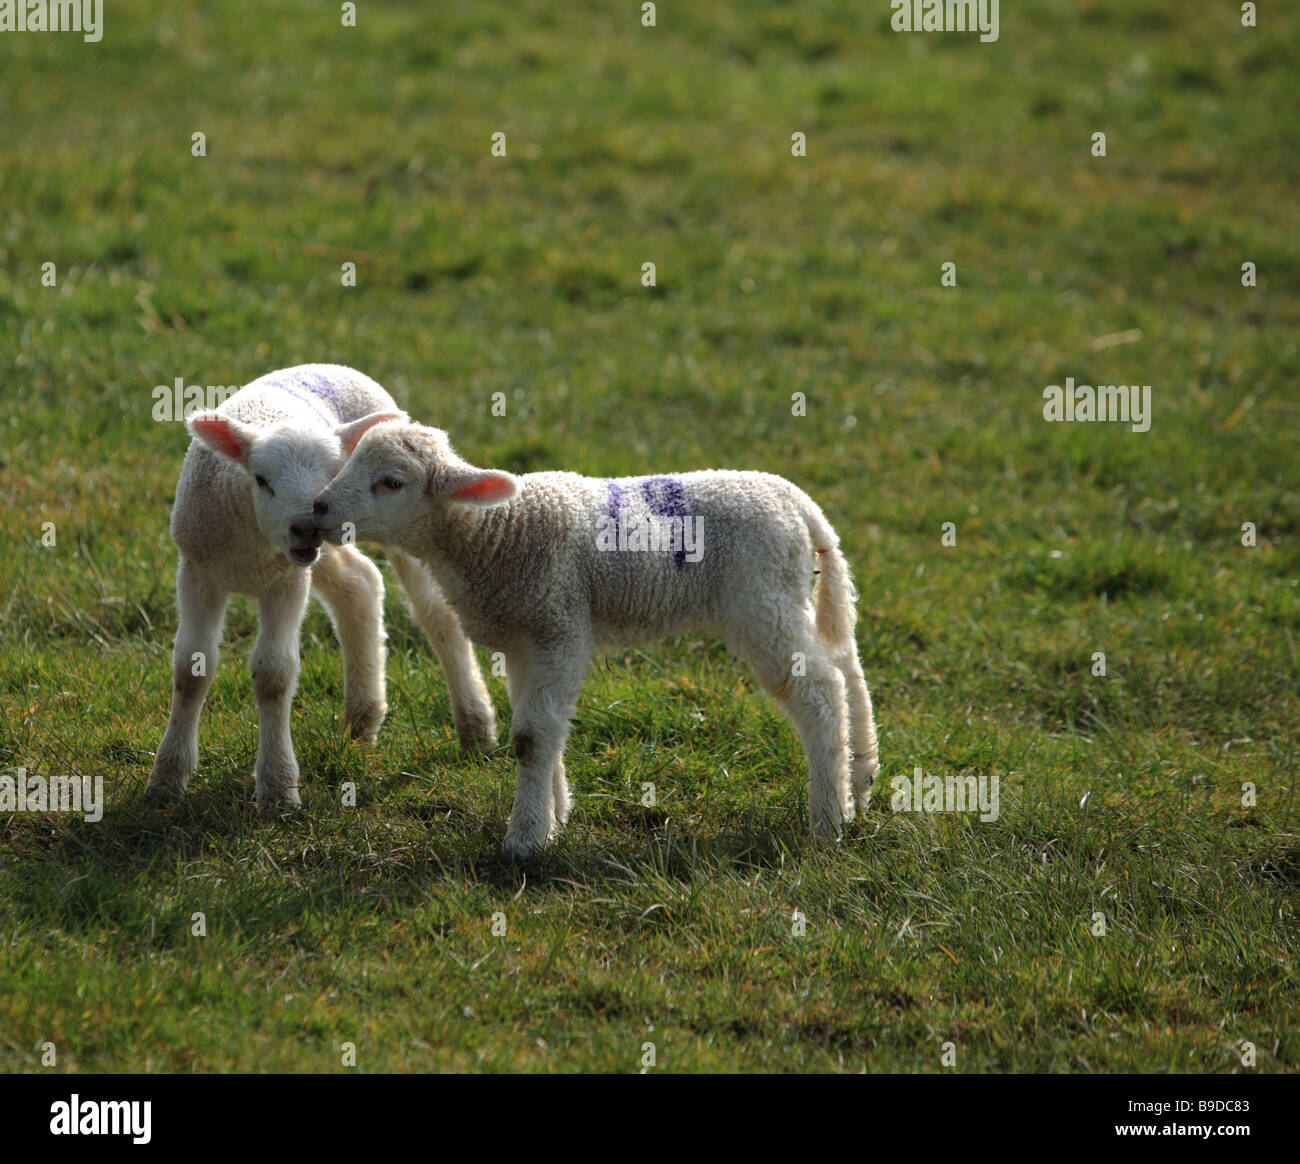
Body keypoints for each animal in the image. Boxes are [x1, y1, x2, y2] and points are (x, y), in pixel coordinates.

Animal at [147, 365, 496, 809]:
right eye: (260, 479)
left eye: (334, 475)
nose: (307, 525)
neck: (252, 546)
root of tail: (334, 367)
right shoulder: (197, 570)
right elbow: (191, 670)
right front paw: (166, 780)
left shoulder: (287, 580)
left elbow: (274, 674)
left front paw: (278, 789)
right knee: (361, 583)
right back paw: (363, 720)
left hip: (403, 525)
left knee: (436, 612)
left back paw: (475, 727)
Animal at [311, 417, 880, 859]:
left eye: (391, 482)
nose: (318, 509)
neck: (497, 530)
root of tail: (799, 504)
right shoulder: (526, 638)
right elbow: (542, 729)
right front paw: (556, 816)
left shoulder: (558, 625)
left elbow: (532, 735)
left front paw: (525, 841)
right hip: (787, 596)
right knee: (847, 672)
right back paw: (859, 785)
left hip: (760, 601)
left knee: (820, 691)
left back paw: (827, 822)